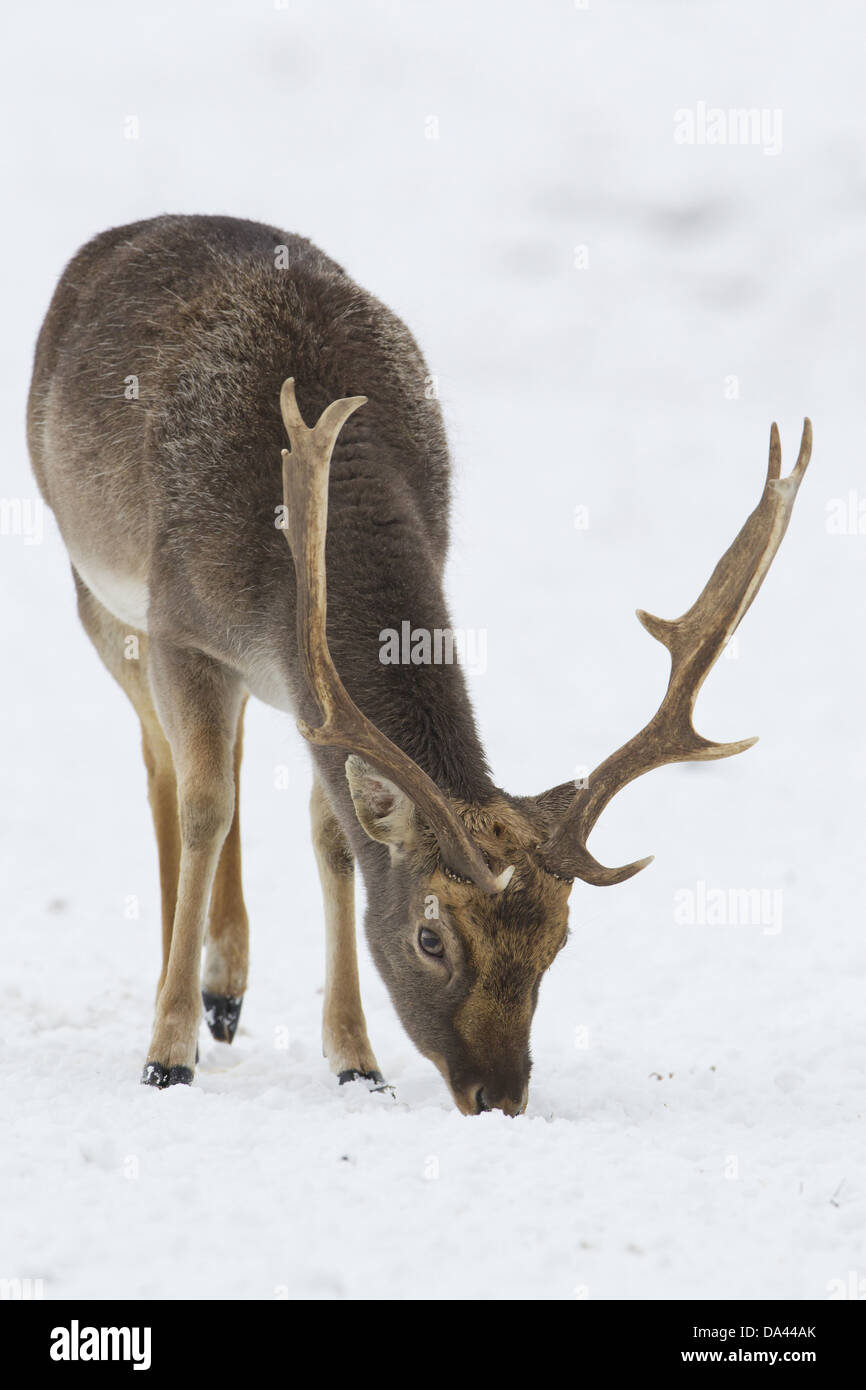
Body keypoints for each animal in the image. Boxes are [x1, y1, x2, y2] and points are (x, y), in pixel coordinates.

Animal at [27, 214, 812, 1116]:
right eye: (429, 937)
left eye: (558, 941)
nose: (499, 1095)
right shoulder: (182, 632)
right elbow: (203, 808)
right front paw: (166, 1053)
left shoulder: (309, 694)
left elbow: (332, 834)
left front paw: (356, 1060)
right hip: (101, 597)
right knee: (168, 766)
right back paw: (194, 992)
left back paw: (229, 988)